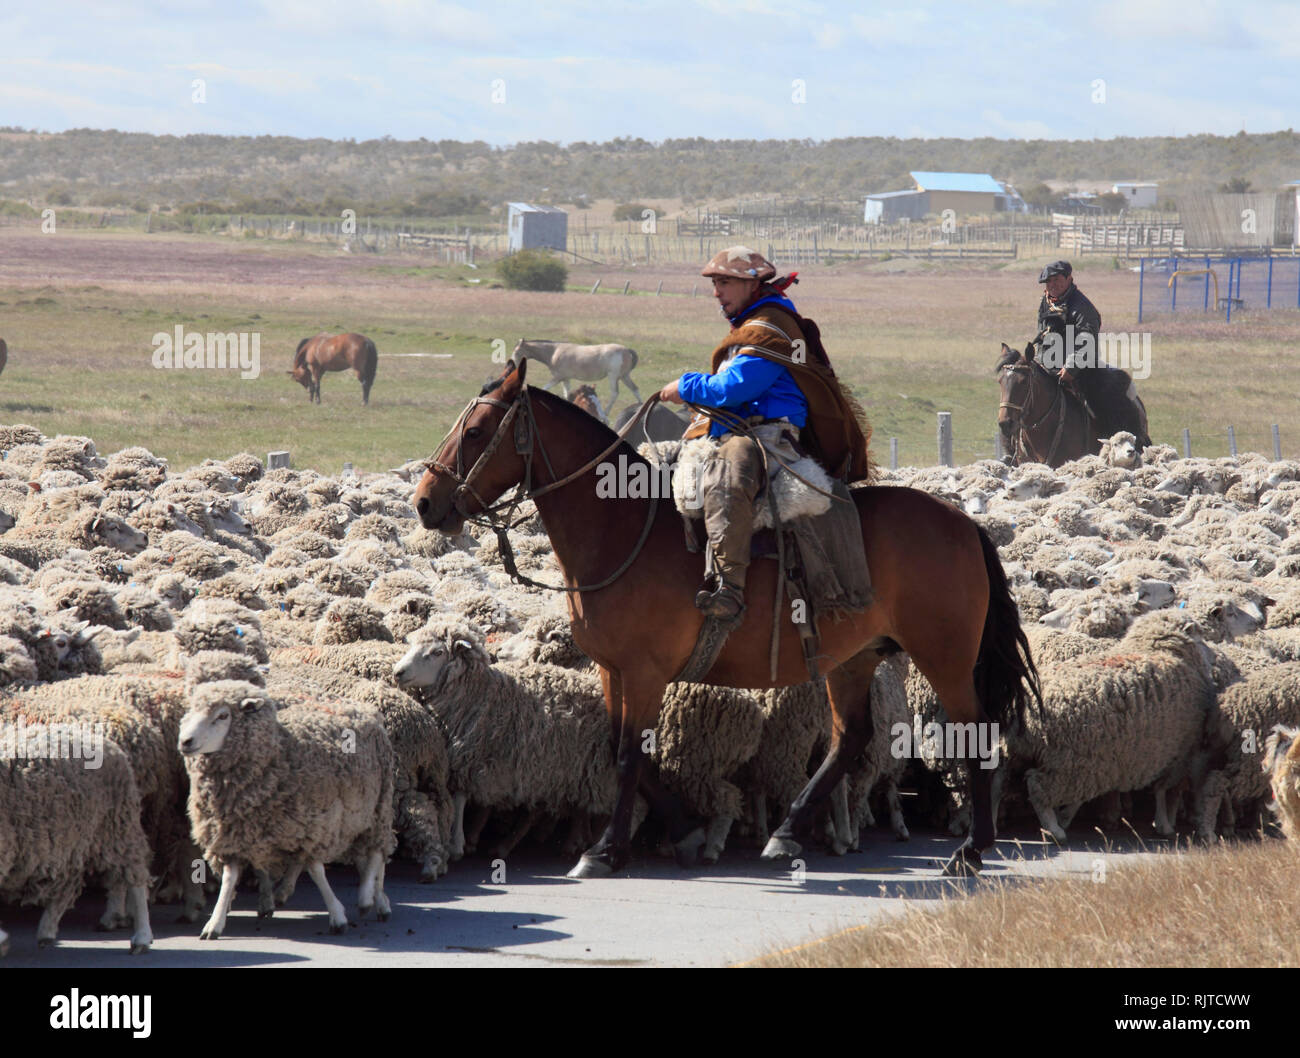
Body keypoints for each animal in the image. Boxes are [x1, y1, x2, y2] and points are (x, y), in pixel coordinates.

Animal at [0, 739, 153, 954]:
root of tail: (111, 745)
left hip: (117, 823)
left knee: (135, 874)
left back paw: (142, 937)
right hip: (70, 837)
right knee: (68, 884)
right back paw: (47, 930)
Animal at [179, 680, 396, 938]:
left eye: (223, 715)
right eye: (191, 710)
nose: (185, 741)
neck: (278, 753)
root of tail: (367, 710)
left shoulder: (315, 827)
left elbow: (317, 872)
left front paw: (337, 916)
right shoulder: (236, 833)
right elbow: (231, 878)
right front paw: (215, 922)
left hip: (379, 806)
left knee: (377, 854)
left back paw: (369, 899)